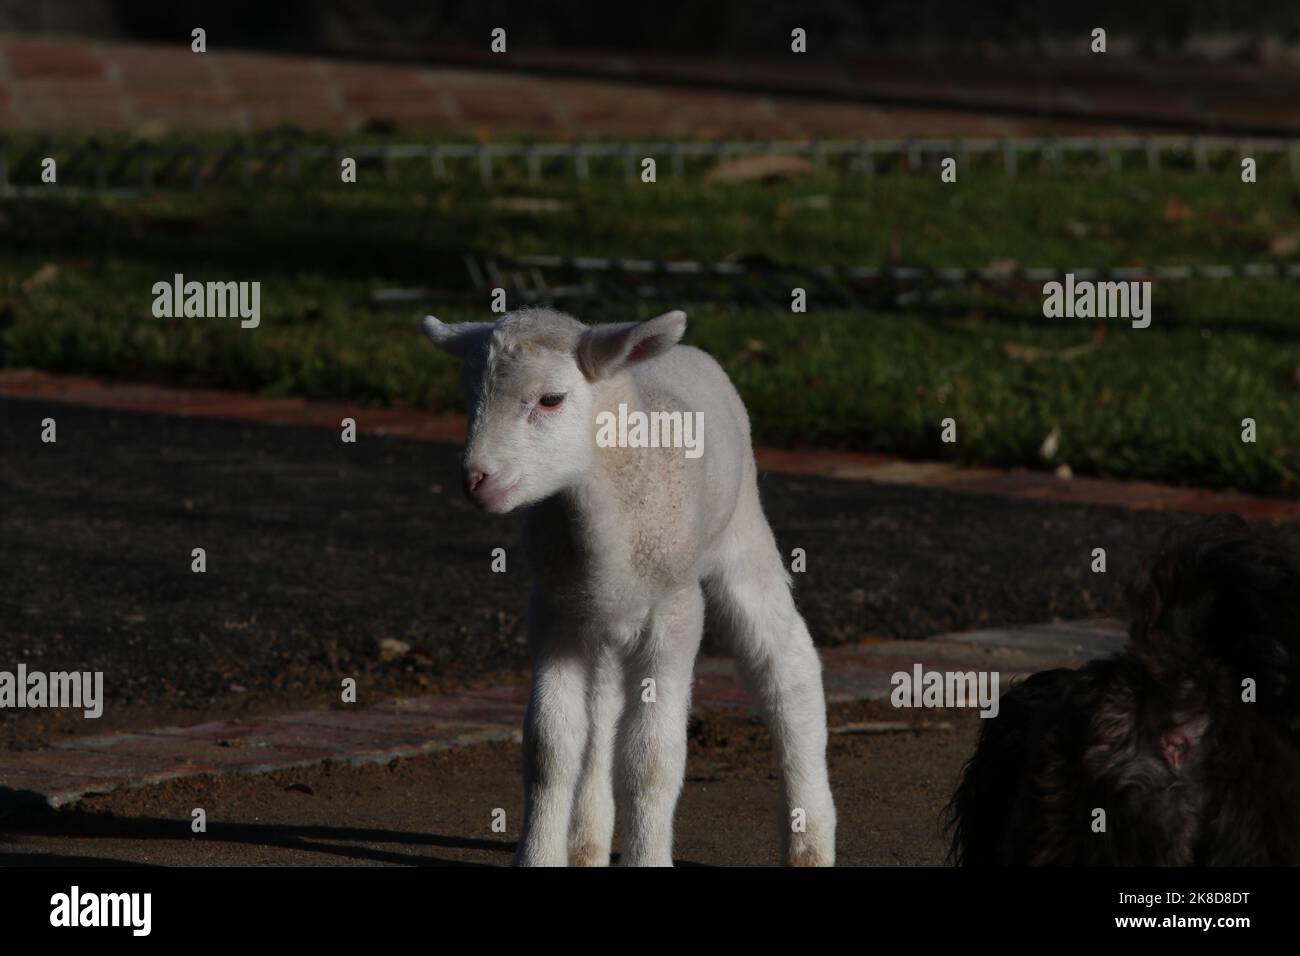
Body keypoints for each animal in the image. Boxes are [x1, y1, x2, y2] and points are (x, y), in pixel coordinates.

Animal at [421, 307, 836, 867]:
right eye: (469, 397)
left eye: (551, 399)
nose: (474, 480)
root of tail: (687, 351)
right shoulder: (555, 613)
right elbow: (551, 747)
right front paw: (538, 856)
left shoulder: (674, 614)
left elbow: (652, 759)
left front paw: (647, 857)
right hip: (602, 624)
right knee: (601, 717)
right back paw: (587, 844)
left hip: (741, 529)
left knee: (785, 666)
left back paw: (810, 840)